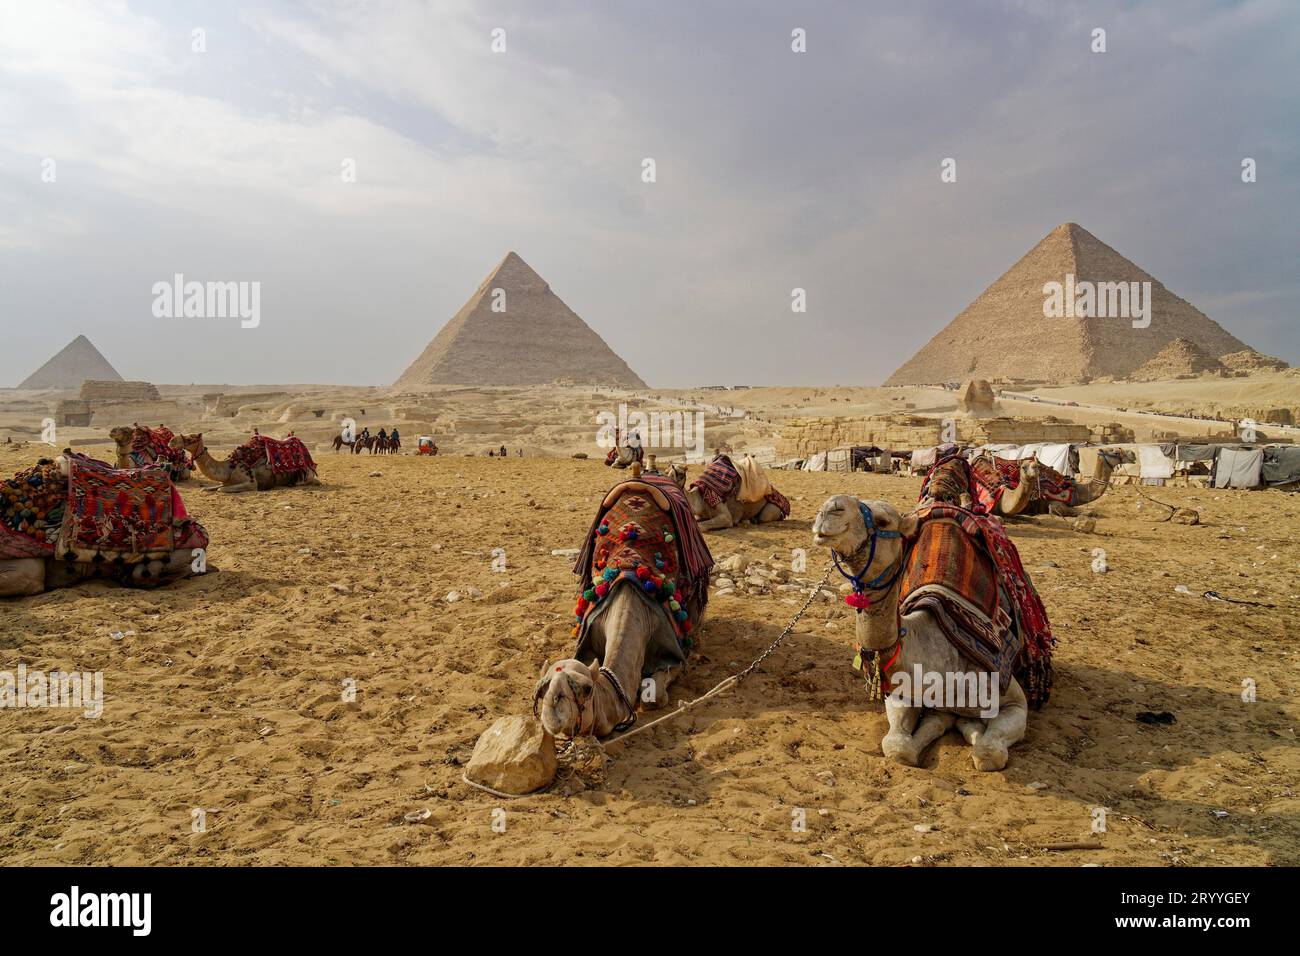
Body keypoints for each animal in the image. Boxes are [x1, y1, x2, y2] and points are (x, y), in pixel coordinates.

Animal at [171, 433, 320, 493]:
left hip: (305, 476)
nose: (171, 441)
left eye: (191, 438)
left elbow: (220, 489)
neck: (229, 467)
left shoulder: (251, 483)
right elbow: (208, 488)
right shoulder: (226, 481)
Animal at [811, 495, 1035, 771]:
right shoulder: (900, 692)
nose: (830, 509)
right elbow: (897, 748)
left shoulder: (1014, 701)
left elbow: (988, 754)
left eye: (883, 520)